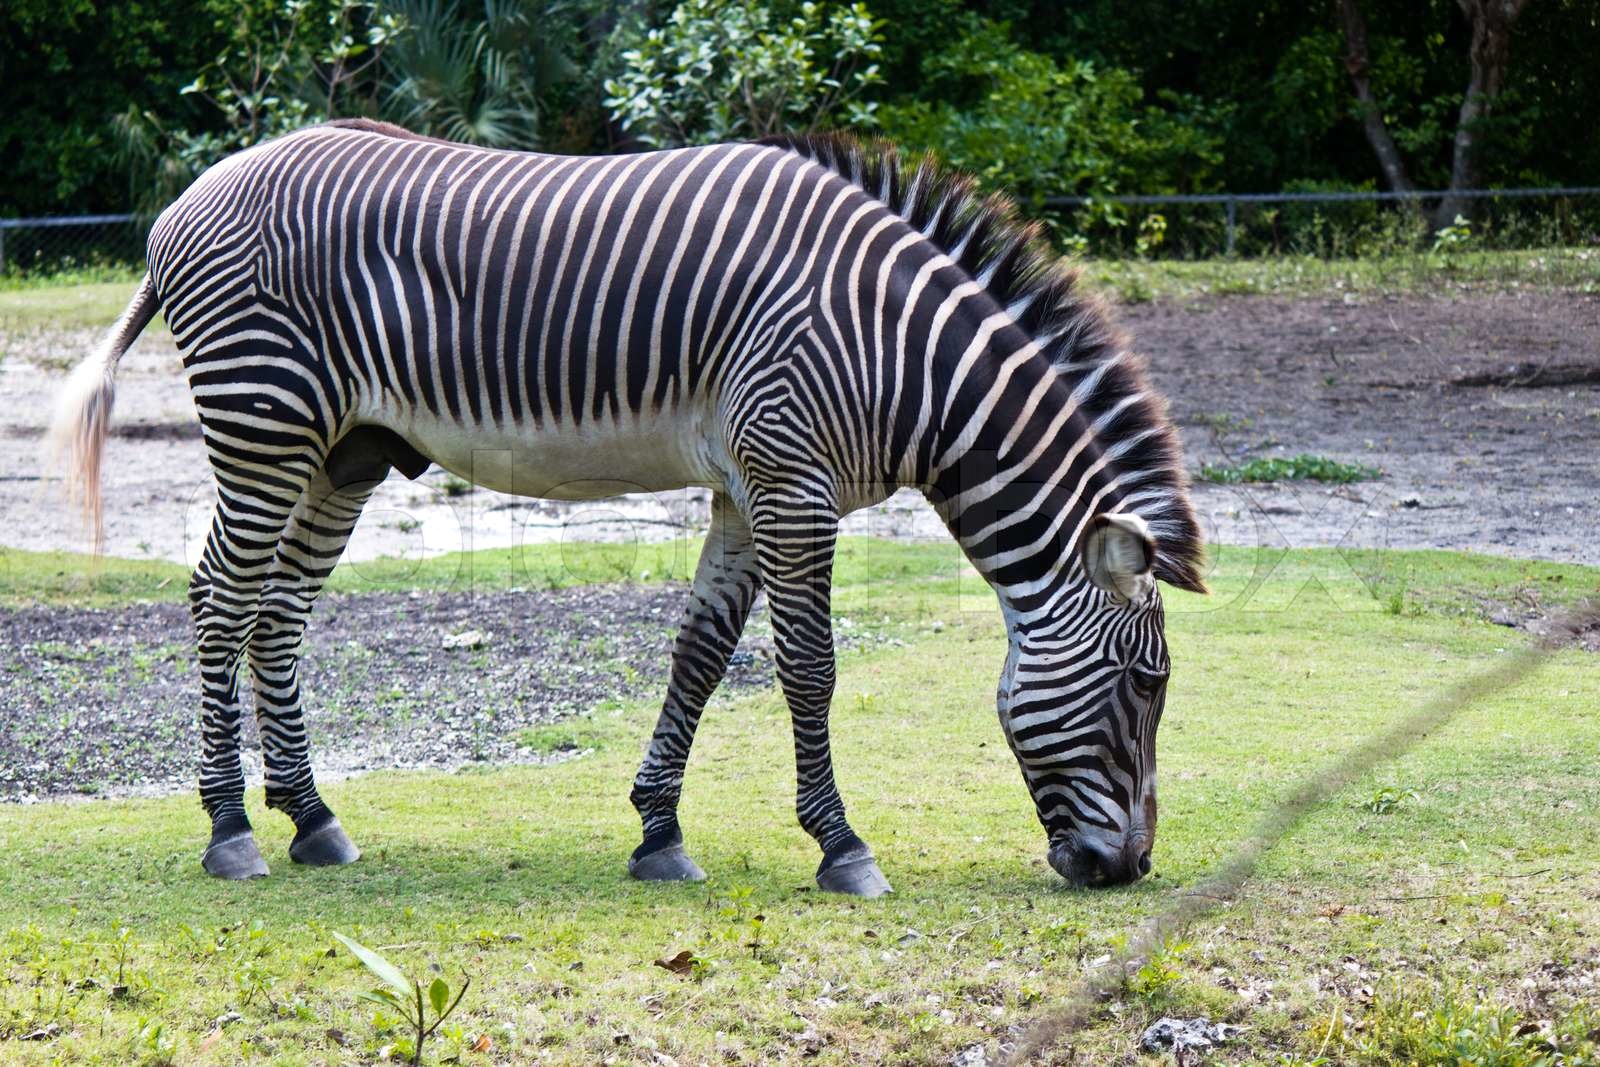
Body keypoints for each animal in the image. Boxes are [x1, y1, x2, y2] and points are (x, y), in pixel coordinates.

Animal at [49, 121, 1206, 895]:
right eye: (1145, 683)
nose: (1127, 870)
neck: (901, 352)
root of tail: (185, 202)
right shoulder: (794, 479)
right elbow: (808, 666)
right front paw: (842, 847)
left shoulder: (747, 486)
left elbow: (701, 652)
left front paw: (659, 832)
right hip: (266, 419)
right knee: (218, 597)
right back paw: (229, 827)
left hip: (341, 448)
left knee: (276, 611)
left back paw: (311, 816)